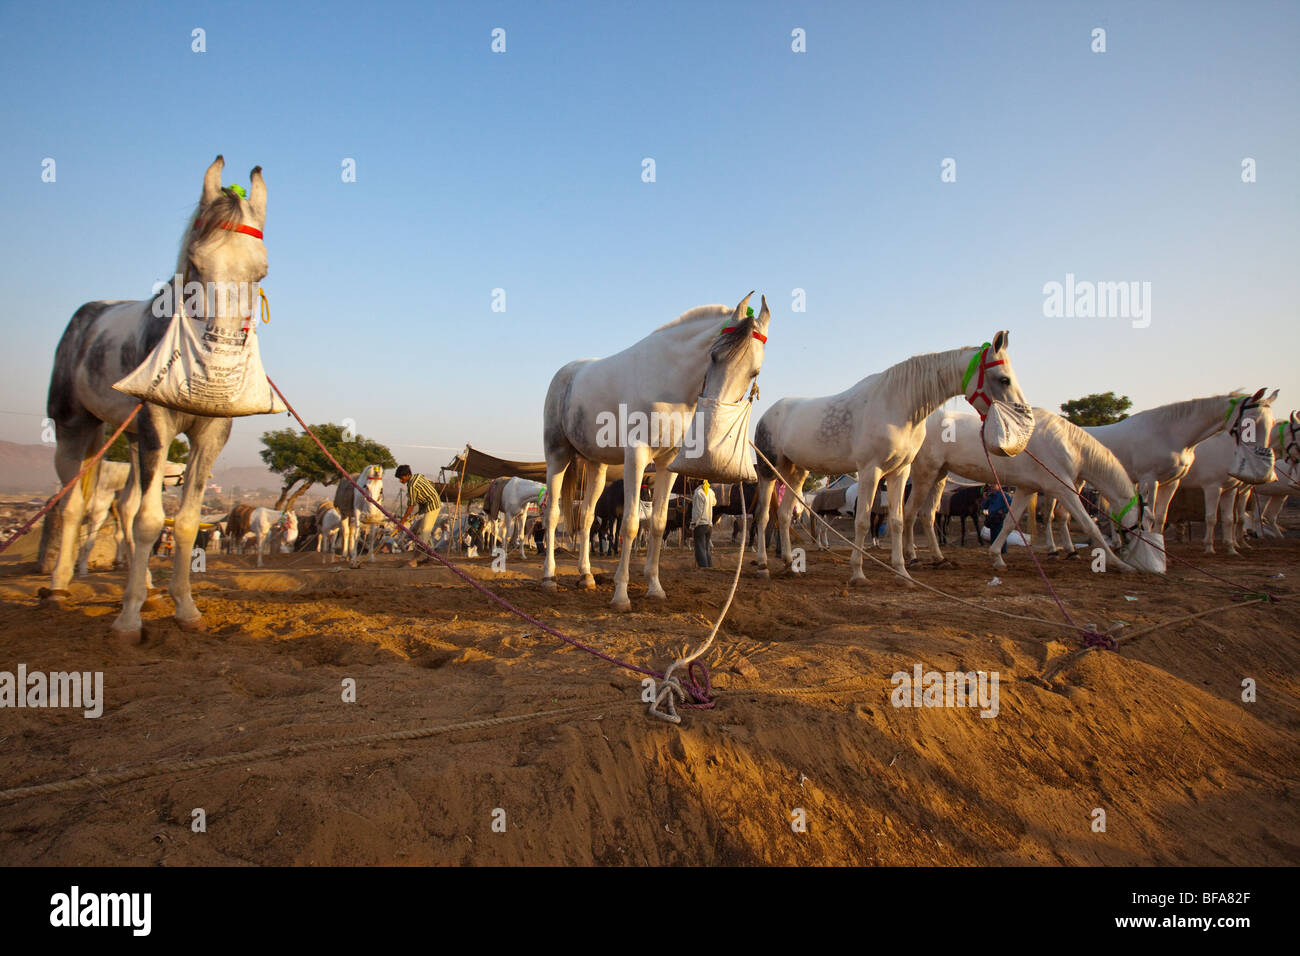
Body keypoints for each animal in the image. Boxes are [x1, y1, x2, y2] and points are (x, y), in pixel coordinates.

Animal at [44, 156, 268, 639]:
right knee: (73, 506)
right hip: (75, 425)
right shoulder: (156, 424)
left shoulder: (210, 434)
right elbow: (149, 521)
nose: (219, 361)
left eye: (260, 272)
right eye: (196, 264)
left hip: (127, 438)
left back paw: (144, 582)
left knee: (125, 506)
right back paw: (58, 586)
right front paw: (128, 619)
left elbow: (183, 523)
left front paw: (184, 607)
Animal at [542, 293, 771, 610]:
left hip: (596, 465)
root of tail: (564, 375)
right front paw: (621, 595)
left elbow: (659, 524)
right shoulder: (637, 457)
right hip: (557, 455)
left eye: (754, 372)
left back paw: (586, 576)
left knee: (586, 516)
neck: (668, 379)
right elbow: (630, 525)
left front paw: (655, 587)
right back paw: (549, 578)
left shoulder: (666, 463)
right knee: (552, 515)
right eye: (714, 356)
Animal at [753, 332, 1028, 583]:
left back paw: (789, 564)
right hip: (769, 471)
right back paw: (763, 566)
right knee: (764, 516)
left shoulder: (900, 471)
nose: (1023, 415)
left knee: (784, 515)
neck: (897, 405)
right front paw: (858, 573)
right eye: (1004, 379)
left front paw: (902, 572)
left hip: (796, 472)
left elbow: (898, 520)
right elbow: (863, 521)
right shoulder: (869, 470)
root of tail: (767, 413)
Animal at [904, 408, 1164, 573]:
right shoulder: (1063, 488)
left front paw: (997, 557)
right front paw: (1119, 564)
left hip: (939, 475)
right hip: (925, 474)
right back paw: (912, 558)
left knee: (926, 515)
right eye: (1148, 521)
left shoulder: (1027, 488)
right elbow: (1089, 525)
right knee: (909, 513)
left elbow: (1010, 522)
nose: (1152, 565)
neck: (1067, 444)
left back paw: (939, 559)